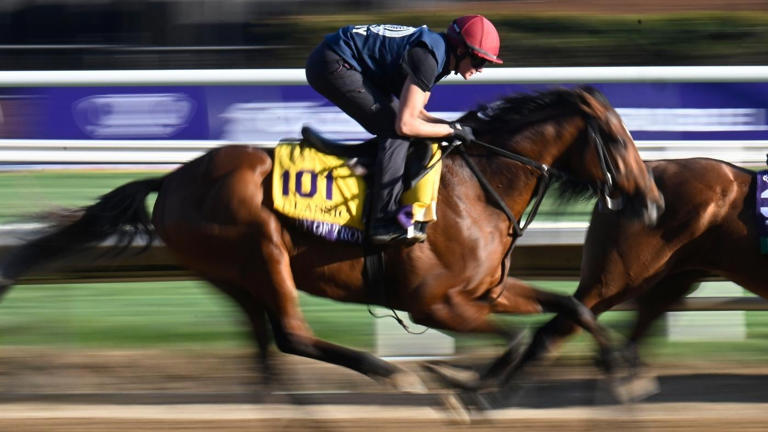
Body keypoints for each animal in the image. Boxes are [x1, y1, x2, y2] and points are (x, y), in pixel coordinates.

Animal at [0, 87, 664, 392]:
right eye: (615, 136)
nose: (654, 203)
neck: (480, 186)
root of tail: (175, 177)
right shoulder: (437, 303)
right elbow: (516, 338)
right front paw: (467, 387)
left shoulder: (489, 290)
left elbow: (570, 305)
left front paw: (623, 368)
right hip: (261, 251)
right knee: (293, 335)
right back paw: (392, 374)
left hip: (231, 276)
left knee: (271, 354)